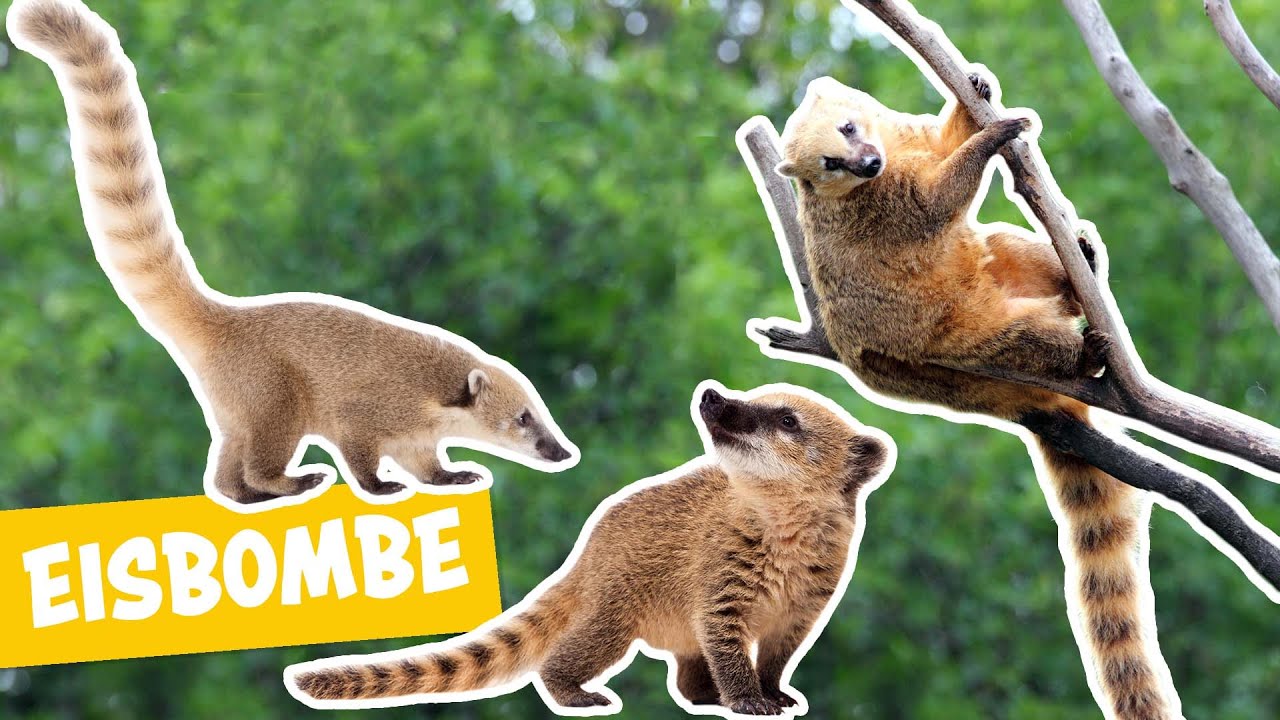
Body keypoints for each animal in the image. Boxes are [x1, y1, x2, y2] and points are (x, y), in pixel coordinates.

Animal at [7, 0, 577, 506]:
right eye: (524, 418)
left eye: (537, 410)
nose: (564, 454)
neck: (441, 390)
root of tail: (225, 318)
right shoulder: (373, 408)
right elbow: (360, 447)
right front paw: (378, 485)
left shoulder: (418, 431)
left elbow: (423, 461)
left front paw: (450, 475)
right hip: (272, 392)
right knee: (265, 445)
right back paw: (287, 481)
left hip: (237, 404)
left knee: (227, 465)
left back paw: (245, 494)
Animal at [285, 383, 894, 716]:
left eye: (787, 420)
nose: (712, 396)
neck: (781, 517)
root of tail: (591, 551)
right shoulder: (720, 566)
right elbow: (722, 632)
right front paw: (745, 694)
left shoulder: (815, 587)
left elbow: (784, 645)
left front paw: (769, 686)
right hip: (622, 594)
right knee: (597, 639)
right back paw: (568, 684)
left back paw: (697, 691)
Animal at [769, 74, 1172, 720]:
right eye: (830, 162)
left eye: (850, 127)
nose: (868, 163)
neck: (882, 162)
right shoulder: (876, 207)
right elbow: (934, 201)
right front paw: (992, 137)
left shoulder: (901, 141)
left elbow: (940, 140)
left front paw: (972, 98)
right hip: (958, 343)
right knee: (1019, 340)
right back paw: (1080, 357)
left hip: (993, 266)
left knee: (1016, 246)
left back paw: (1079, 267)